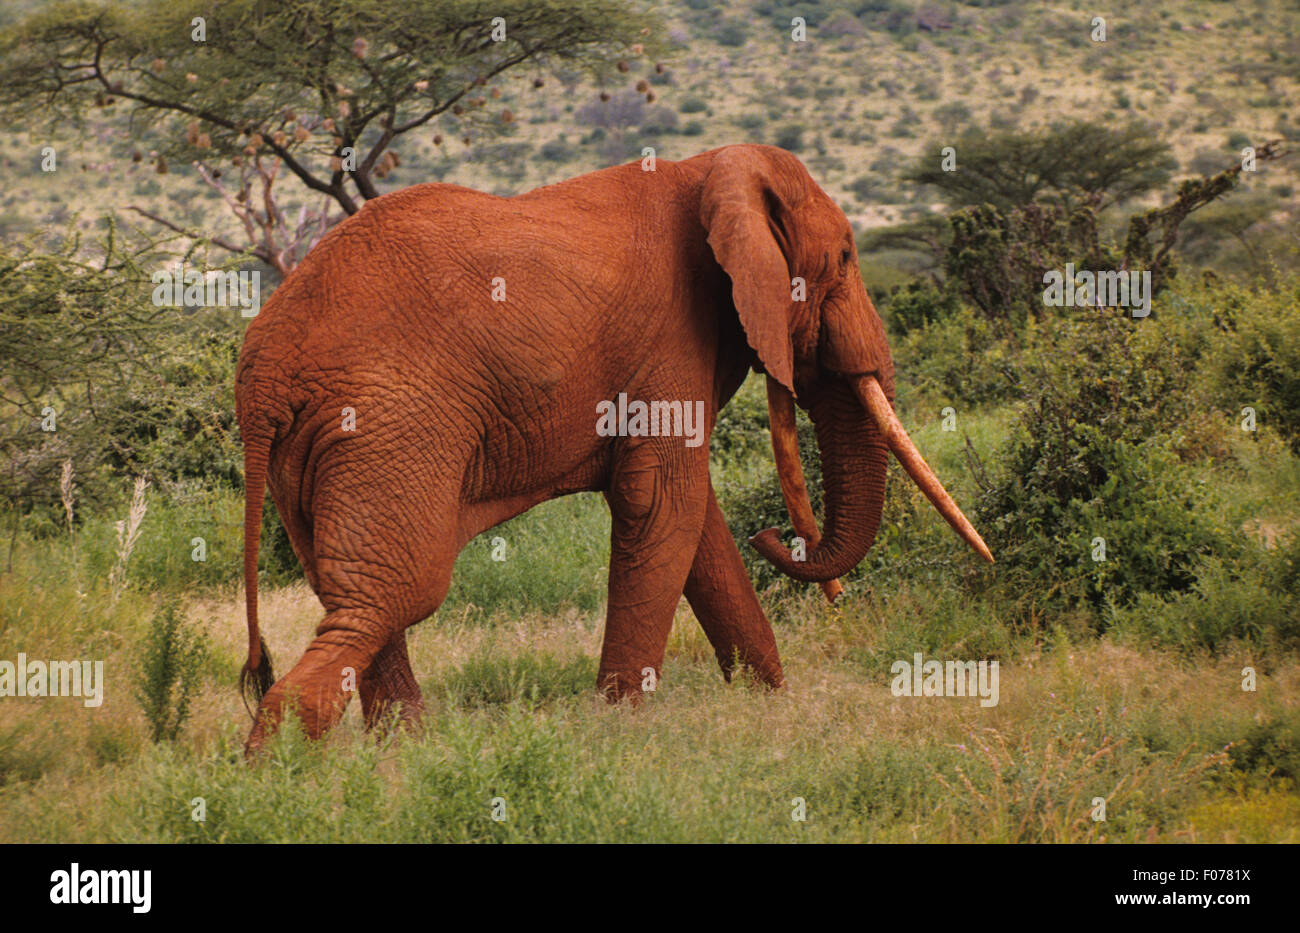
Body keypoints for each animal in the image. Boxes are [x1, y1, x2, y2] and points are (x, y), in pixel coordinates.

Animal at [235, 143, 992, 752]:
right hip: (389, 425)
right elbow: (662, 501)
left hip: (318, 449)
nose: (775, 533)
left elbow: (696, 520)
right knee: (396, 591)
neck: (709, 170)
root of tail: (263, 370)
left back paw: (407, 754)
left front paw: (770, 705)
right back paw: (283, 768)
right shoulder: (673, 332)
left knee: (358, 595)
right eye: (843, 259)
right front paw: (621, 728)